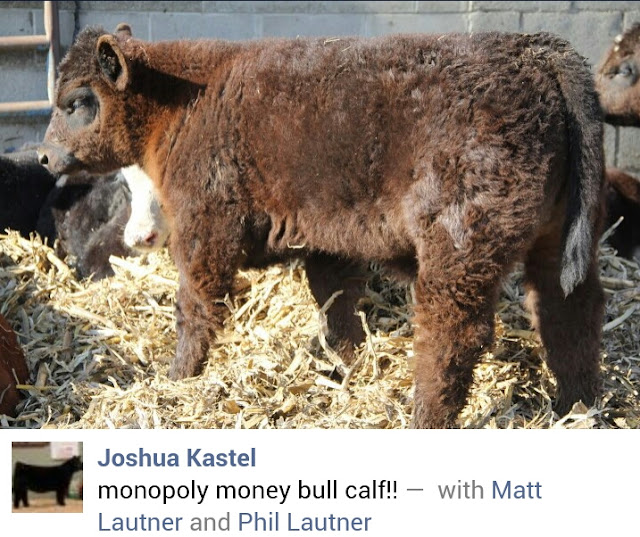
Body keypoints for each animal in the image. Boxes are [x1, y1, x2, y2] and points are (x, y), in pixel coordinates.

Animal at [38, 25, 605, 428]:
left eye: (77, 102)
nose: (43, 156)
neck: (185, 101)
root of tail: (534, 49)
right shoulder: (327, 240)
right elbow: (336, 308)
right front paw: (347, 370)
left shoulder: (205, 230)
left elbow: (195, 309)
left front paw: (178, 378)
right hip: (556, 242)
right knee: (569, 313)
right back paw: (575, 409)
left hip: (459, 247)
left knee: (453, 336)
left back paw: (425, 418)